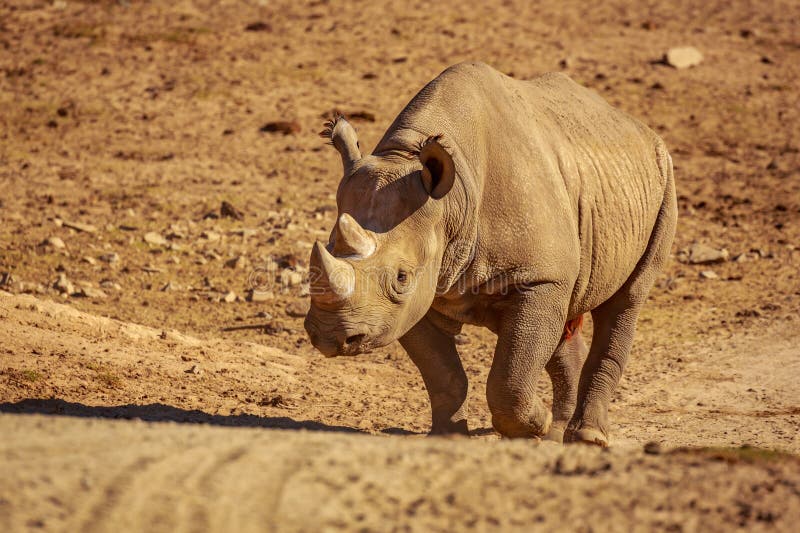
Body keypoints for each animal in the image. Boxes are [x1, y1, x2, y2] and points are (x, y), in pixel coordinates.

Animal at [304, 62, 676, 446]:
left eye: (401, 277)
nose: (328, 337)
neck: (451, 202)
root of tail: (640, 127)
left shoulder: (538, 277)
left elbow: (510, 376)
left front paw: (534, 427)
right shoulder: (415, 299)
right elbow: (444, 374)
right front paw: (449, 439)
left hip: (663, 180)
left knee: (626, 300)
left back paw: (587, 438)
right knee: (563, 317)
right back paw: (558, 434)